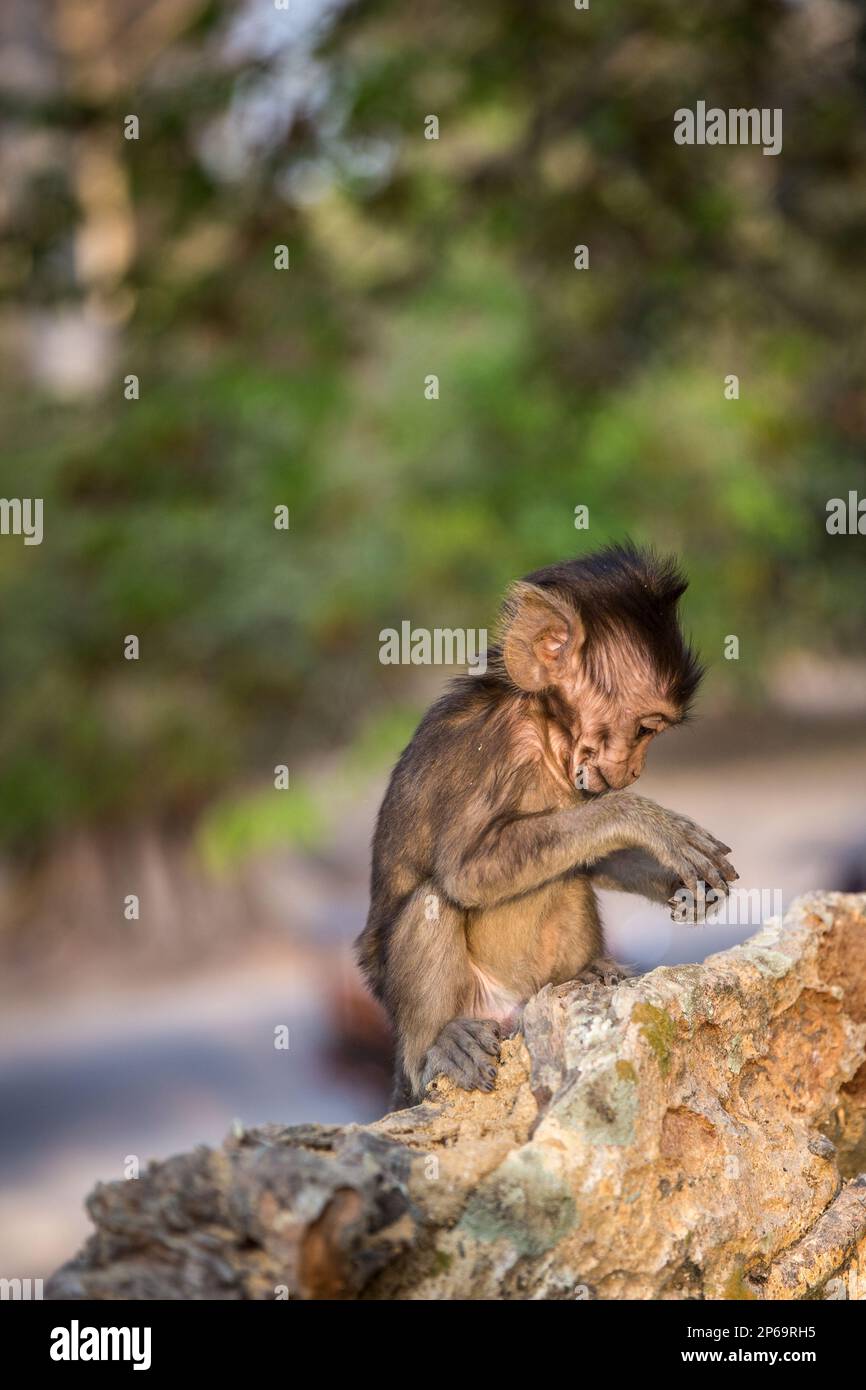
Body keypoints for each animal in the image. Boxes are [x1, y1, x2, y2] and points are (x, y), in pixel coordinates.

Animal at [355, 543, 738, 1109]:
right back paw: (439, 1045)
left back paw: (589, 974)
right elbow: (466, 871)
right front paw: (645, 819)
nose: (636, 770)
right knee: (432, 899)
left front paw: (679, 884)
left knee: (567, 875)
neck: (545, 725)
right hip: (461, 1016)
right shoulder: (500, 745)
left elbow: (593, 853)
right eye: (644, 729)